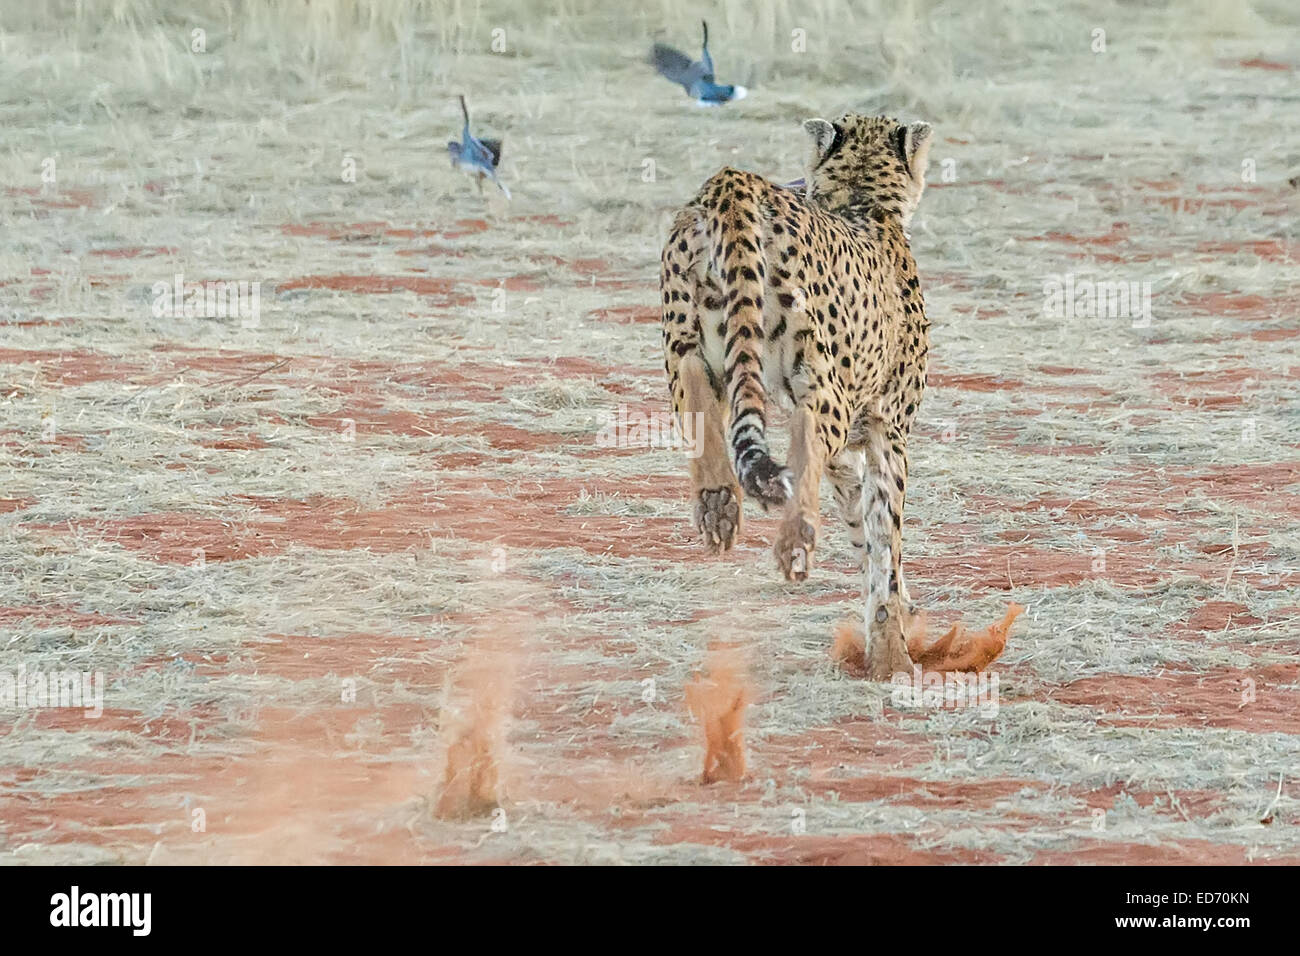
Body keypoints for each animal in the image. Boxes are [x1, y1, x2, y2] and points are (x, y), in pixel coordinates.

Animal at [659, 111, 935, 678]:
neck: (859, 198)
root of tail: (734, 180)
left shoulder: (851, 443)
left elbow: (863, 525)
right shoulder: (888, 432)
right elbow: (886, 541)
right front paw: (893, 657)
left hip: (686, 340)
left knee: (700, 402)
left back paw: (718, 505)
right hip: (817, 374)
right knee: (803, 445)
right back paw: (795, 540)